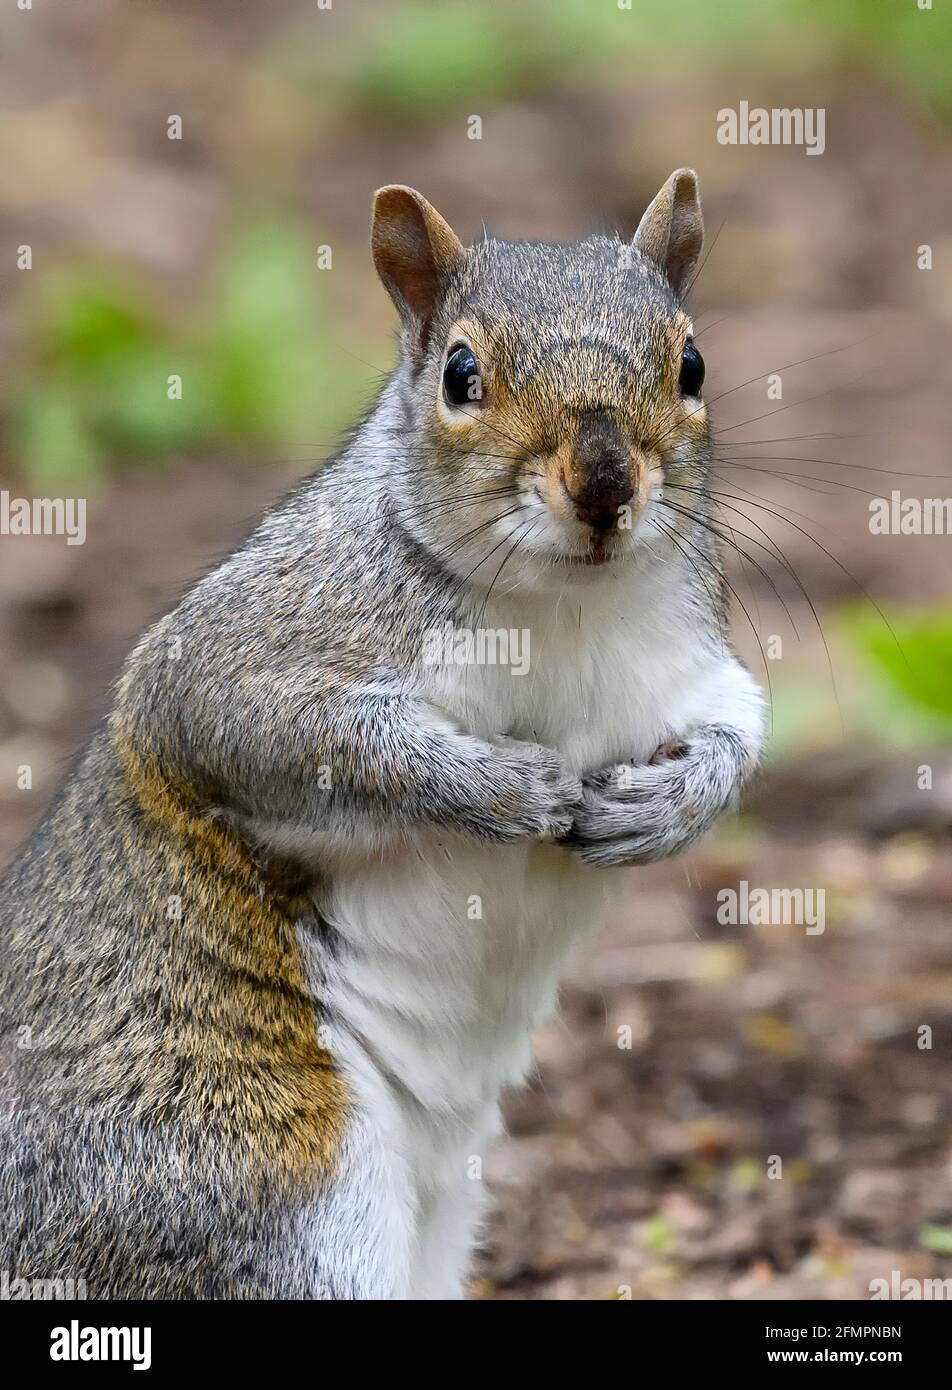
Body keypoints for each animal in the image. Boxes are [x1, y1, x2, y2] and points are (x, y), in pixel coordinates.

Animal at [0, 169, 764, 1300]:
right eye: (461, 374)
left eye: (693, 363)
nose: (604, 480)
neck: (563, 605)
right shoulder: (249, 655)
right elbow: (282, 728)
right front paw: (500, 789)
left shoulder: (686, 658)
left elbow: (738, 730)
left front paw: (665, 808)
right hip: (267, 1177)